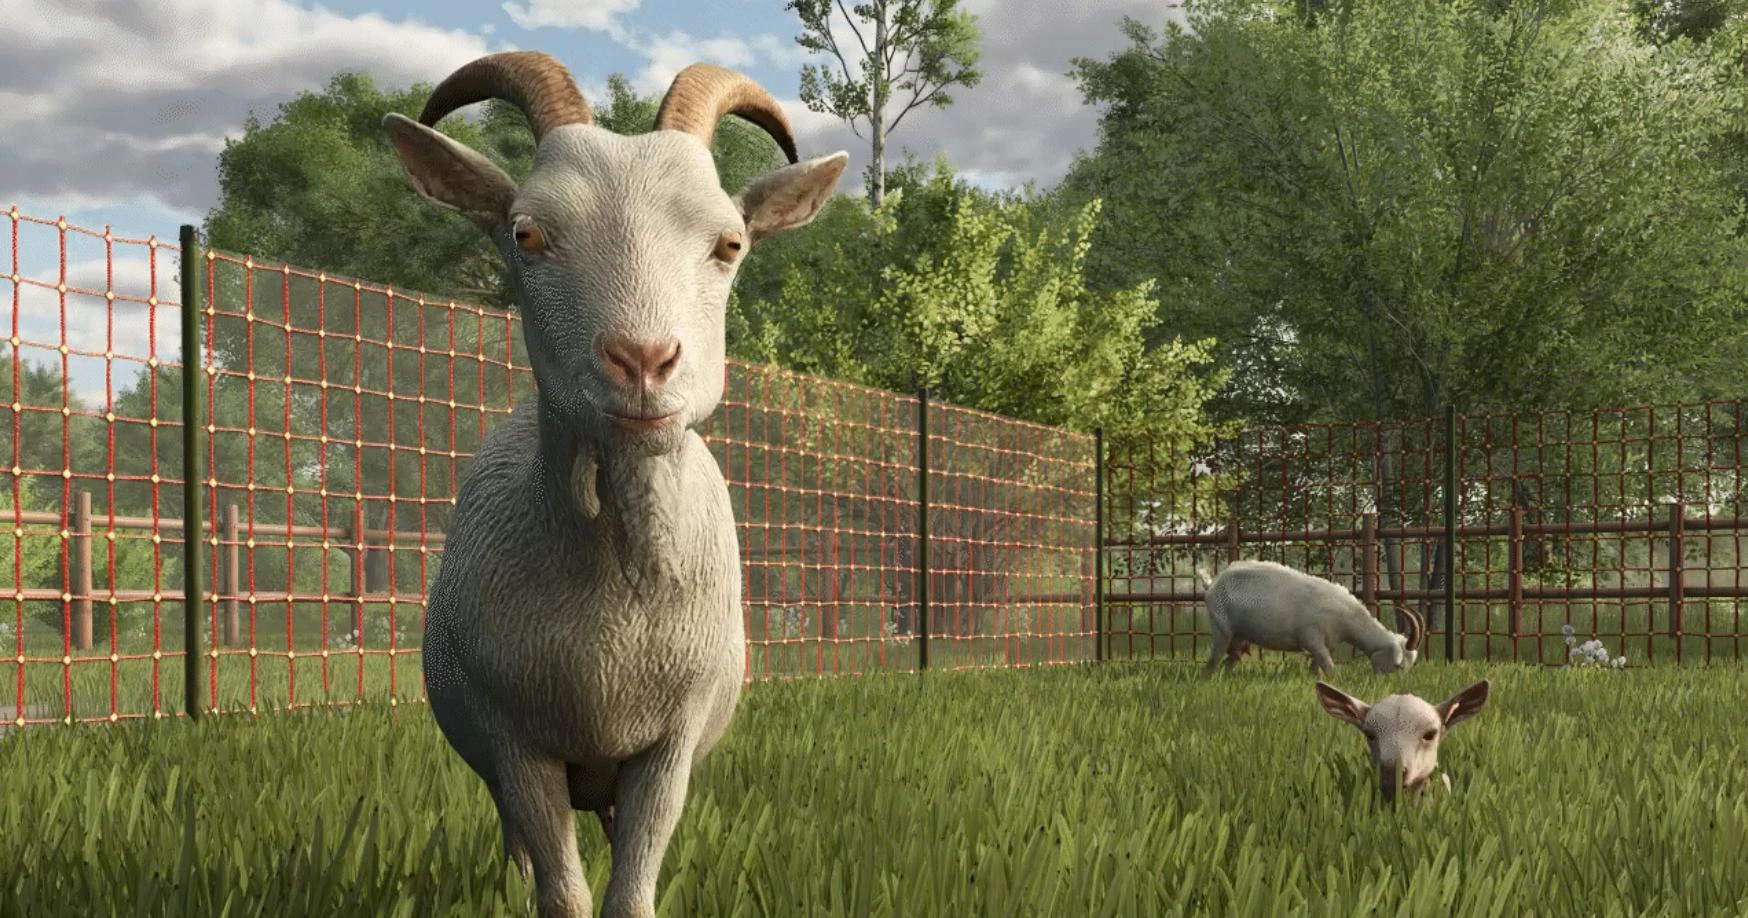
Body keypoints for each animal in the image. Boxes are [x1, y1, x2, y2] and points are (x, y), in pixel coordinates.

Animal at [383, 51, 848, 918]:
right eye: (526, 234)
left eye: (730, 244)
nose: (642, 360)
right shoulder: (516, 741)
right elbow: (562, 891)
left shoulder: (669, 746)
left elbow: (632, 889)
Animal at [1202, 559, 1425, 676]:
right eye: (1397, 665)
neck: (1346, 616)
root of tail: (1213, 583)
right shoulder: (1312, 639)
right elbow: (1330, 668)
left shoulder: (1325, 645)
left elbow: (1316, 669)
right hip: (1221, 628)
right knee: (1213, 660)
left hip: (1240, 637)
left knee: (1231, 659)